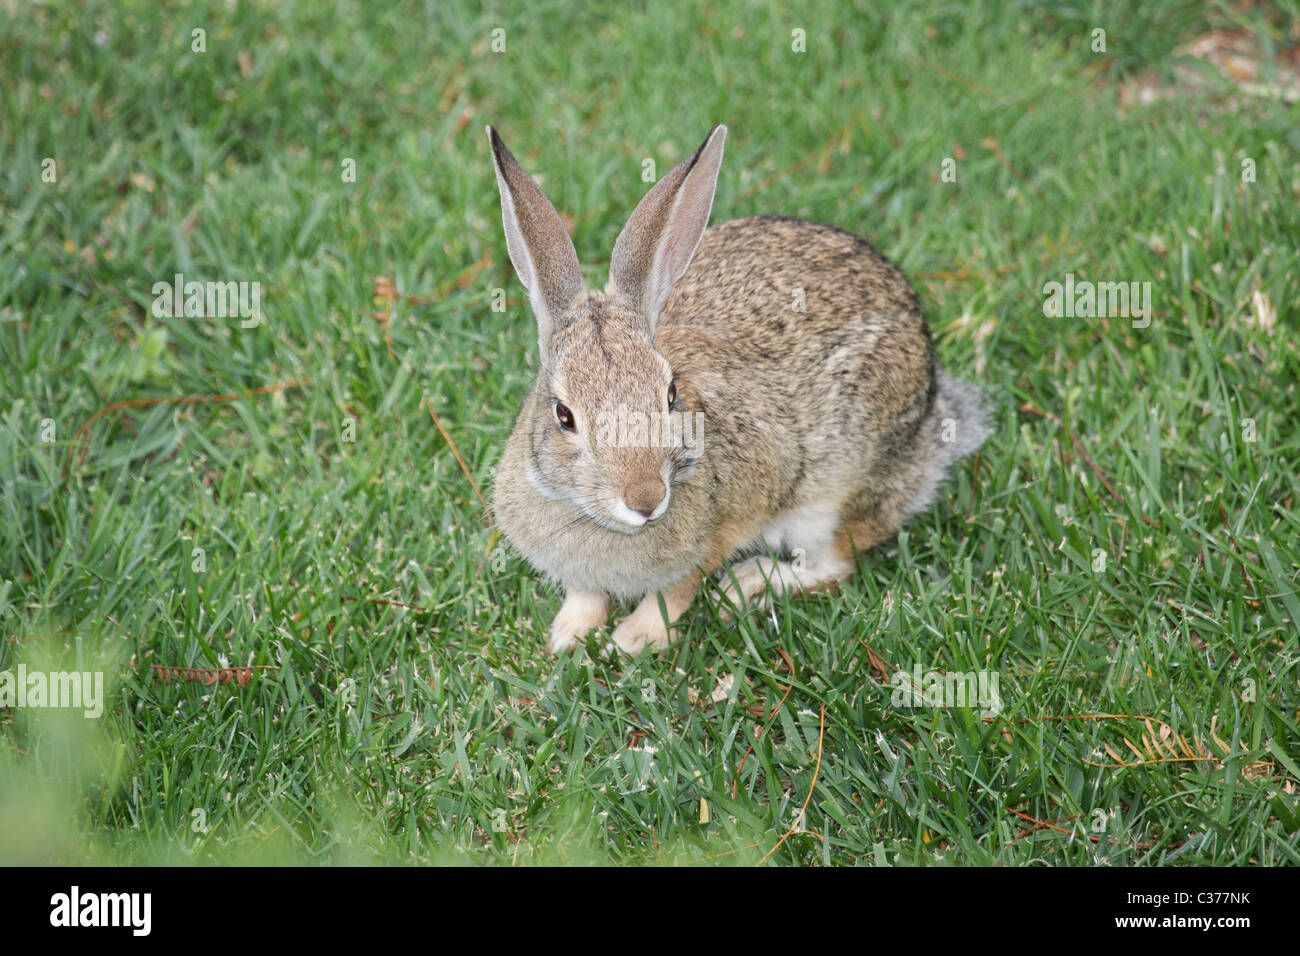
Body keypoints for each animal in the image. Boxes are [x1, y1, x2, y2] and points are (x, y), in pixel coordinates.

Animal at [486, 123, 988, 654]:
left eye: (669, 395)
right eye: (564, 416)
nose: (646, 499)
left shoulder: (729, 523)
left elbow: (678, 590)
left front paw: (634, 639)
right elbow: (585, 594)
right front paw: (568, 635)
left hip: (832, 495)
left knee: (836, 562)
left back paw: (744, 586)